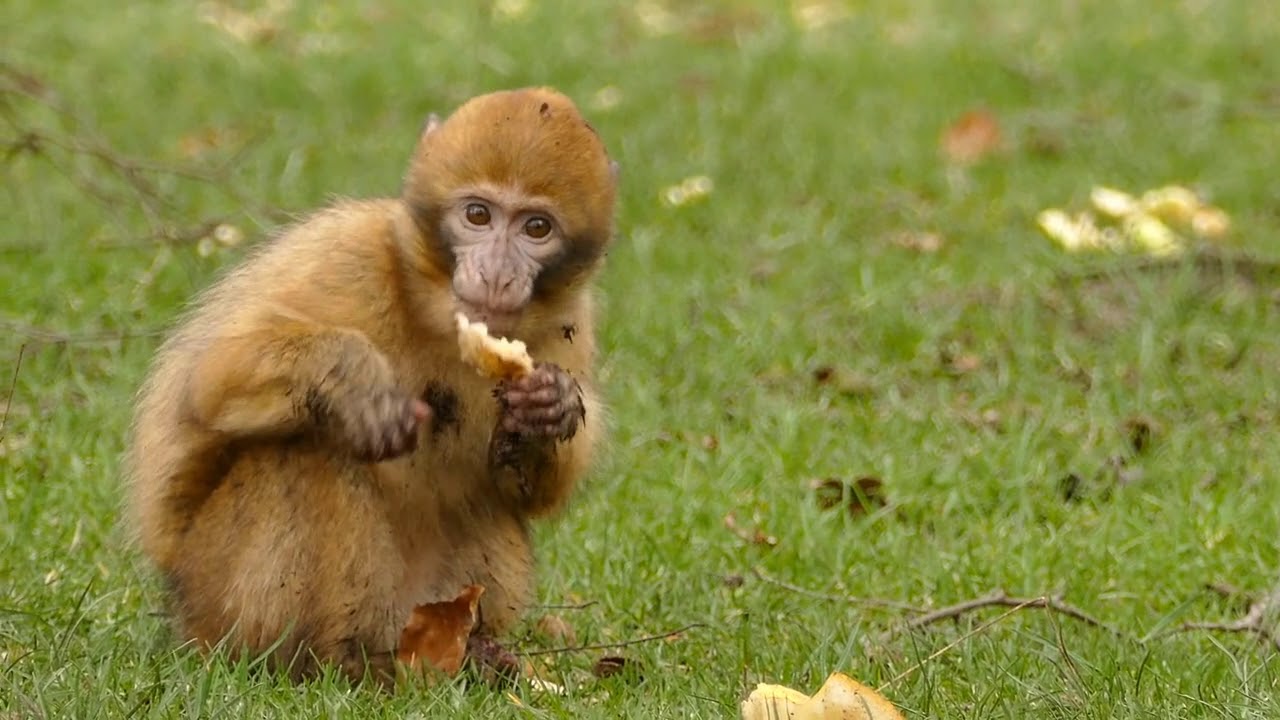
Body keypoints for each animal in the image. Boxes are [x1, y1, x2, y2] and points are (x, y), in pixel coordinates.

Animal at [124, 87, 617, 685]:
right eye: (478, 215)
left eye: (536, 228)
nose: (498, 273)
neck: (436, 311)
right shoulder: (347, 254)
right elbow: (208, 381)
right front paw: (350, 375)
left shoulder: (572, 319)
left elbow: (527, 492)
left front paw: (550, 409)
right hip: (214, 594)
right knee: (306, 452)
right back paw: (329, 664)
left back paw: (470, 653)